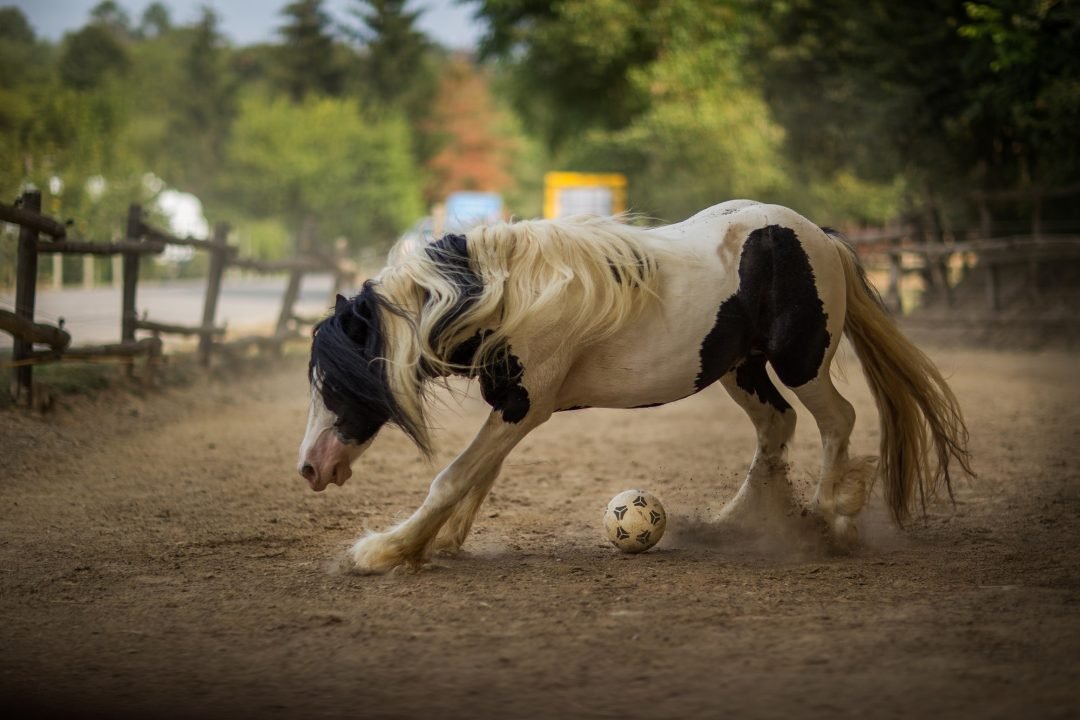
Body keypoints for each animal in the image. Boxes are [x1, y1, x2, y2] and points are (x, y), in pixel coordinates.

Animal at [298, 199, 973, 574]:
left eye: (335, 381)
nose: (309, 467)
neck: (502, 297)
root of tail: (818, 237)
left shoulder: (524, 407)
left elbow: (454, 476)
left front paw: (384, 552)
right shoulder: (512, 409)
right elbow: (477, 475)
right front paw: (438, 542)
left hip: (800, 362)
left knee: (837, 421)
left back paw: (830, 522)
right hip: (740, 370)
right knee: (777, 426)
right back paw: (733, 523)